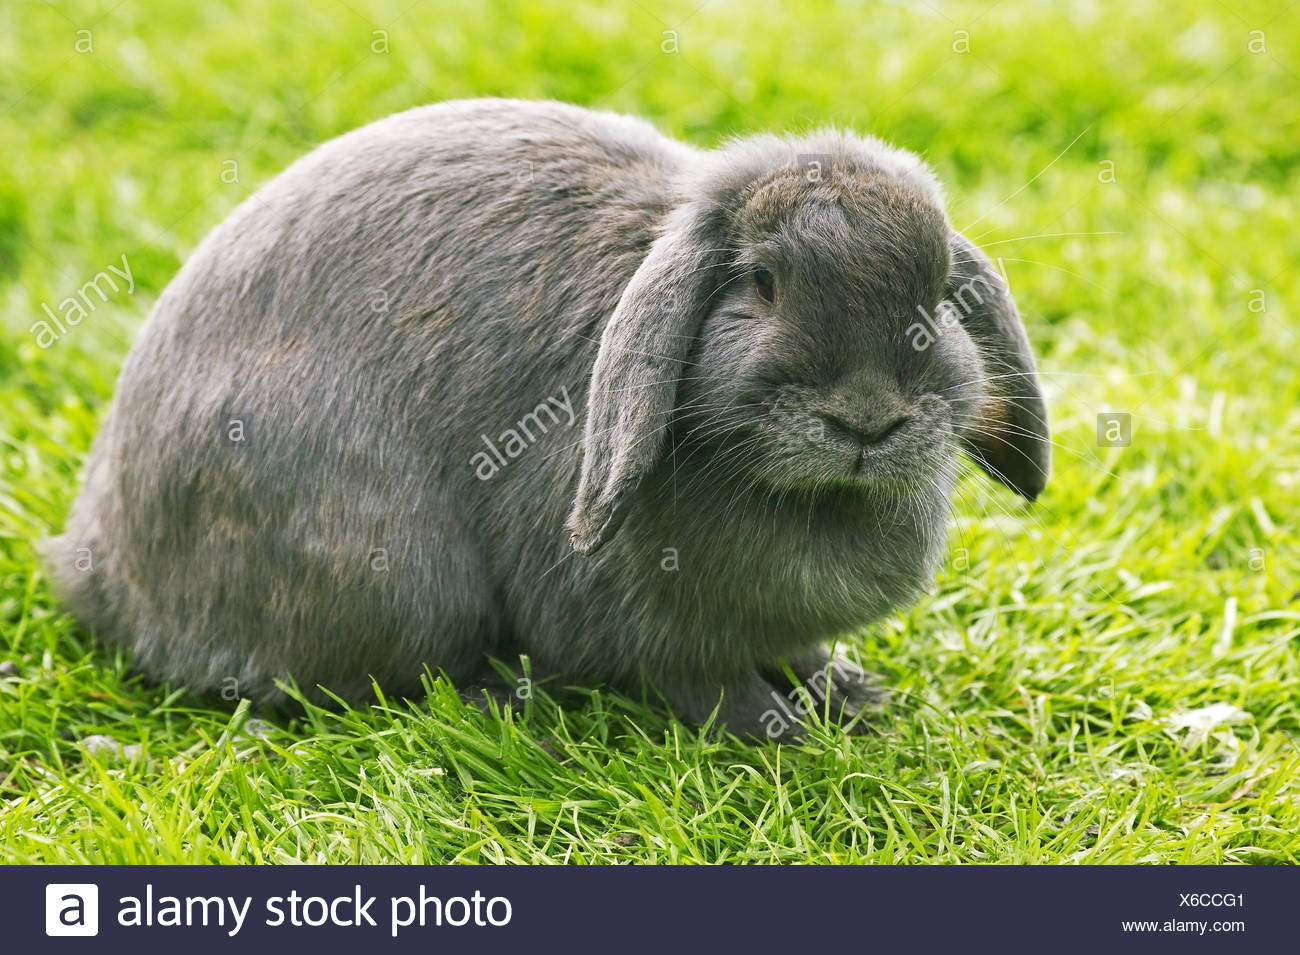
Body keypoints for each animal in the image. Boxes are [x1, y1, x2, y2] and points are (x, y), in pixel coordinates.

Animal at [46, 98, 1049, 741]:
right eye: (762, 283)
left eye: (937, 296)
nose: (867, 420)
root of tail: (99, 565)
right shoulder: (635, 615)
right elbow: (699, 676)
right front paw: (776, 730)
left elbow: (794, 649)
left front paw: (846, 692)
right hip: (399, 569)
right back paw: (504, 700)